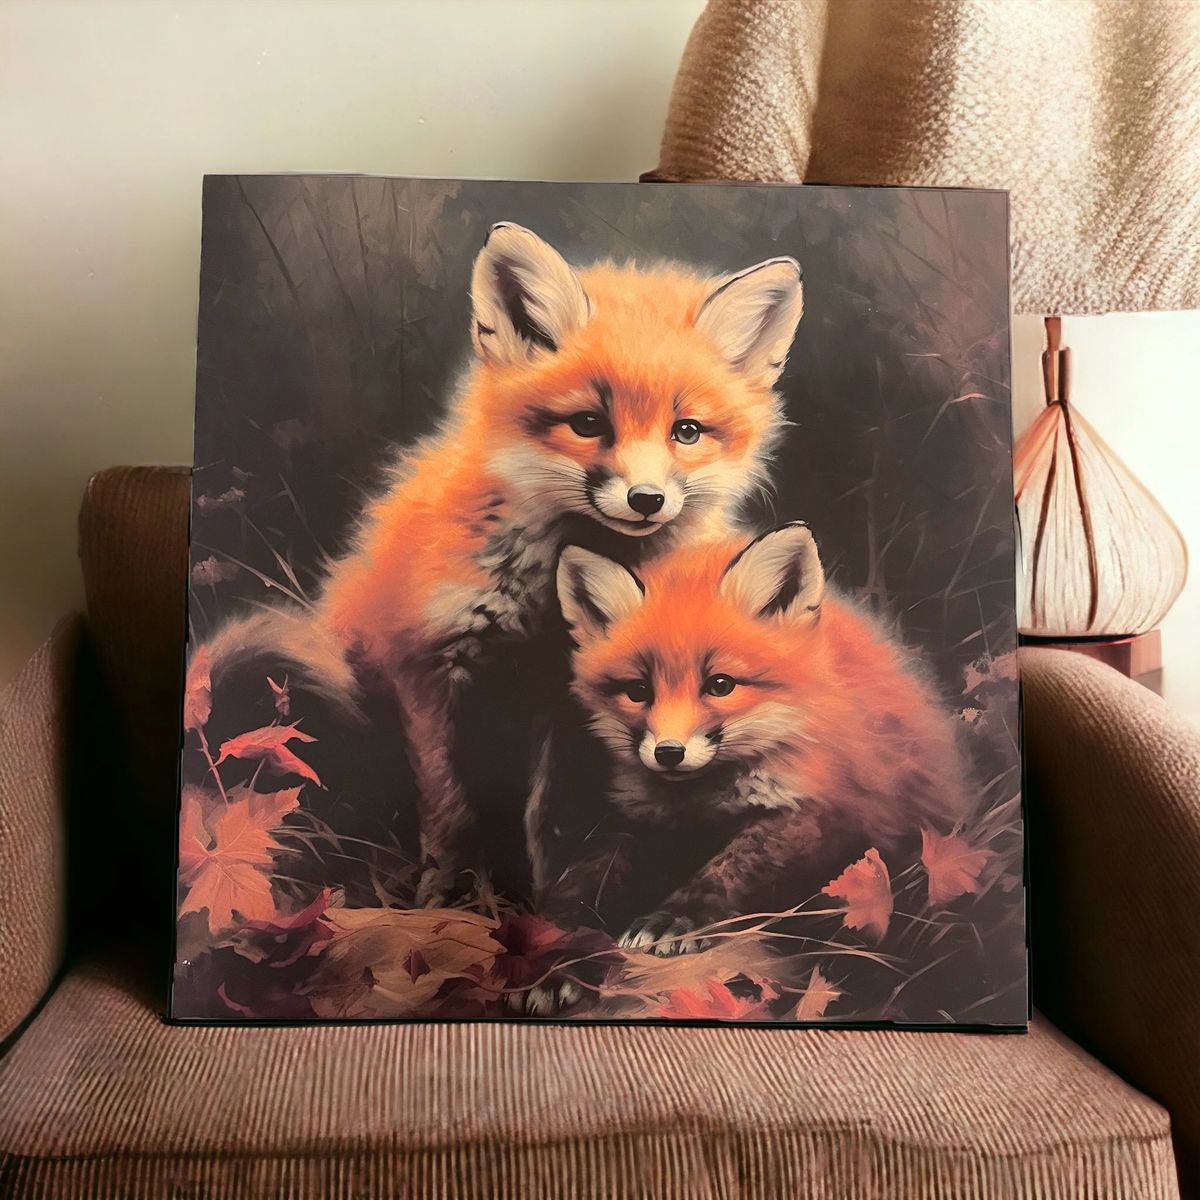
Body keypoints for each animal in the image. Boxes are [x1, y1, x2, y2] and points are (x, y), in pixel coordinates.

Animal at [192, 222, 805, 905]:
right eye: (587, 423)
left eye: (687, 431)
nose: (647, 500)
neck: (542, 609)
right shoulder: (434, 670)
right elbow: (453, 808)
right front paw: (449, 899)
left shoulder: (566, 702)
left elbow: (542, 813)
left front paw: (534, 898)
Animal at [524, 522, 970, 1011]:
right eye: (638, 690)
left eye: (720, 685)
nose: (668, 753)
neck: (699, 802)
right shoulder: (633, 821)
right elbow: (582, 883)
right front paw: (557, 958)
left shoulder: (822, 810)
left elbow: (731, 868)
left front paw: (672, 919)